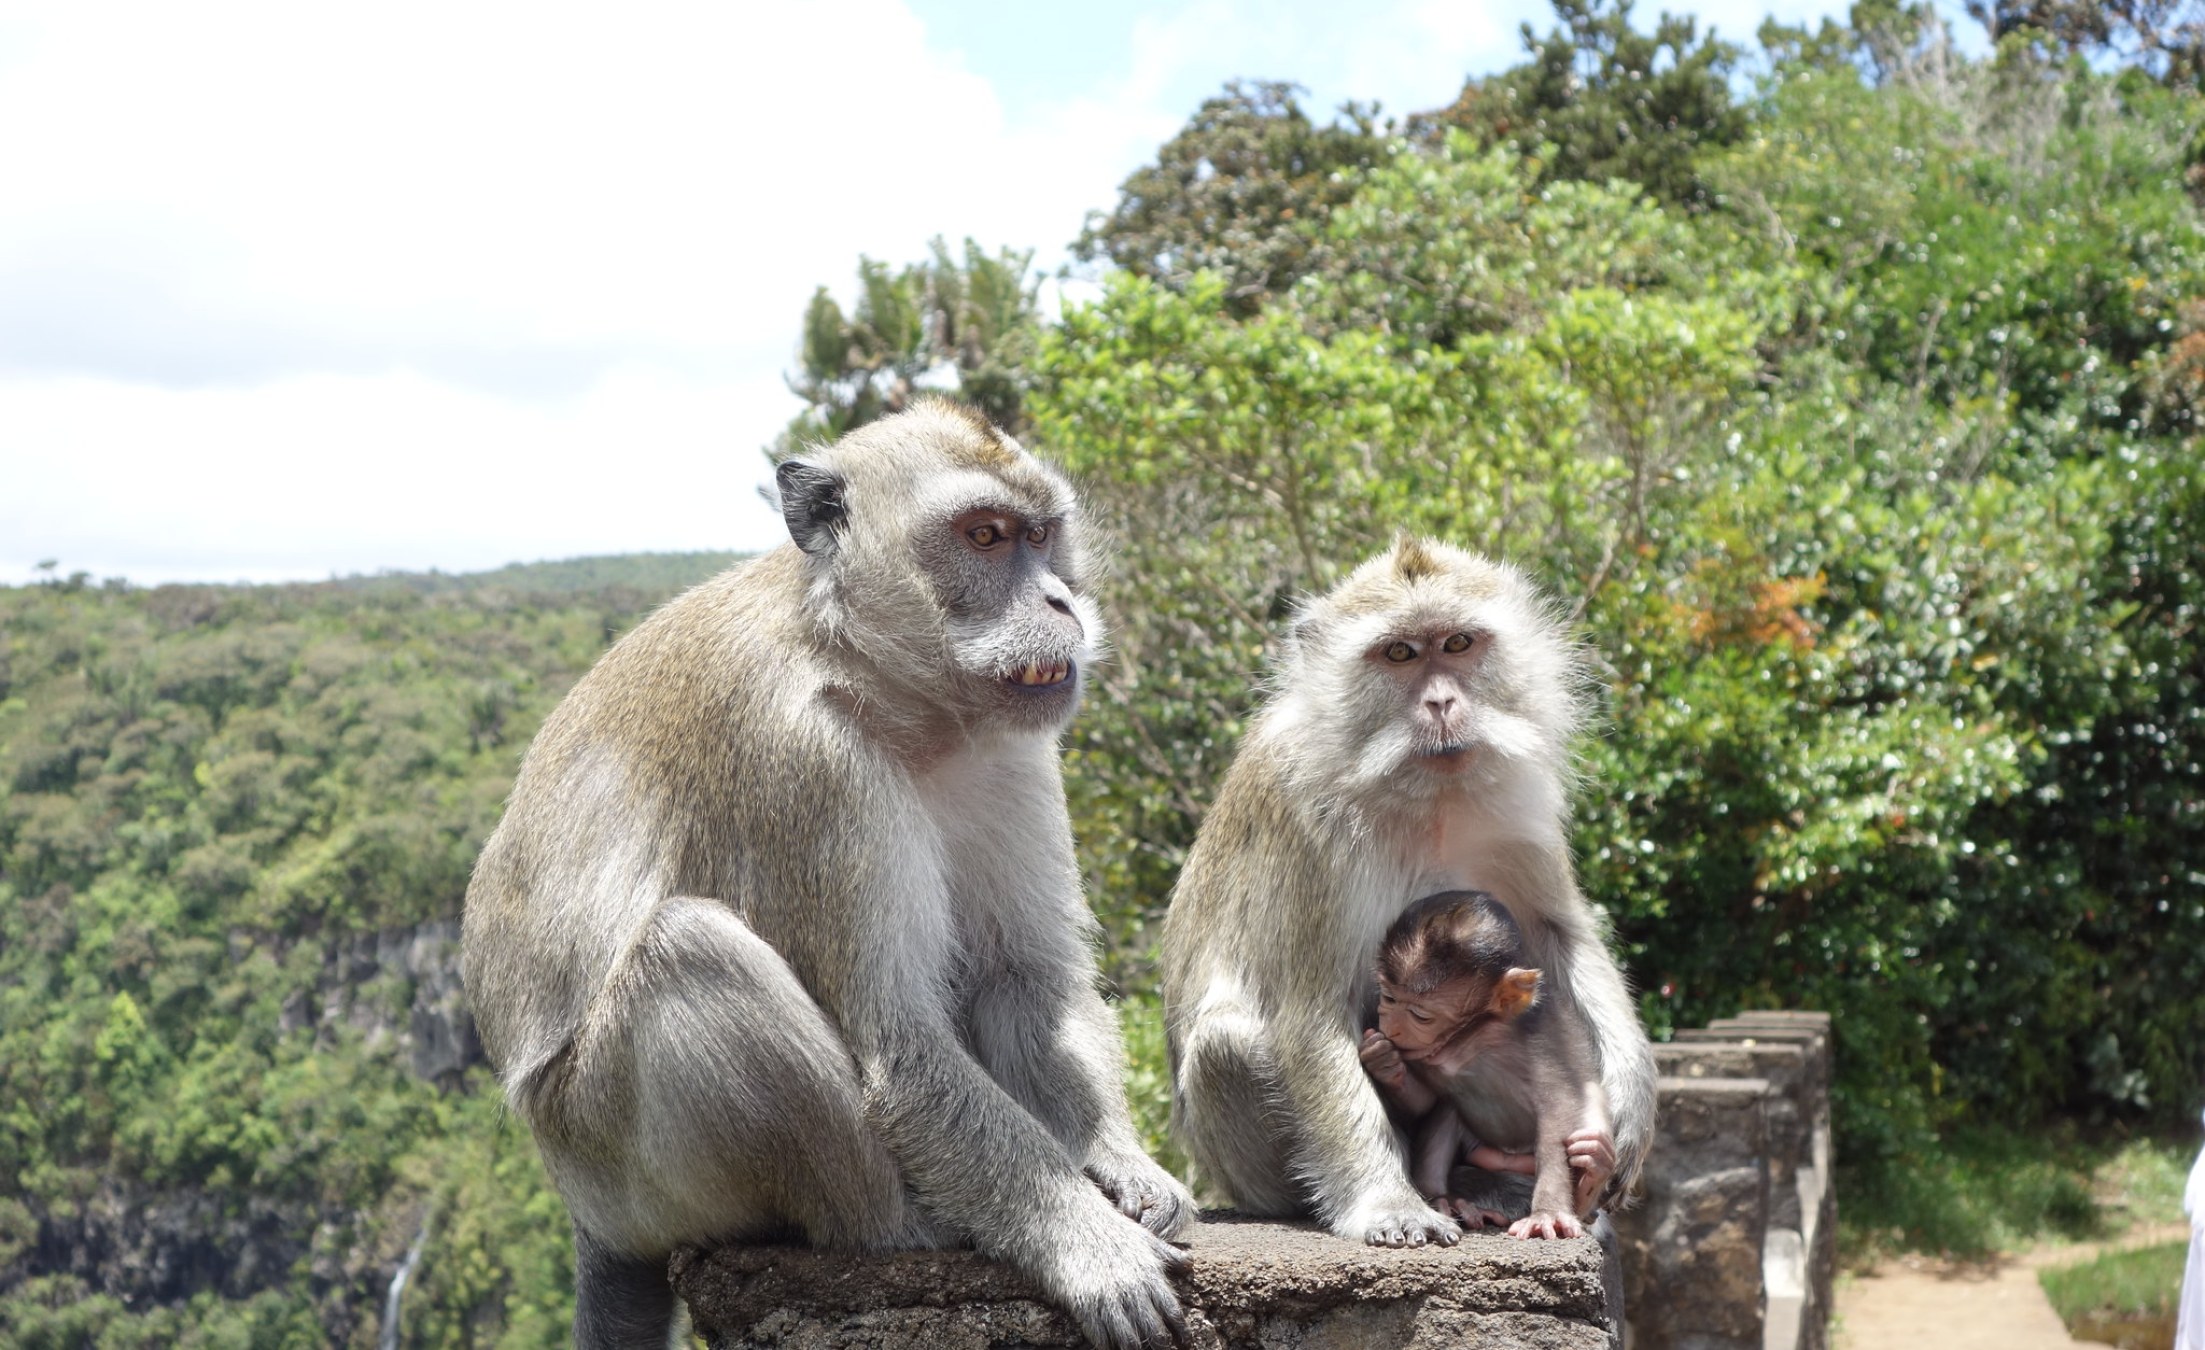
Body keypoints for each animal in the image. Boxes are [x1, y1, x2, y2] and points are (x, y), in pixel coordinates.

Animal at [461, 399, 1194, 1350]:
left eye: (1039, 535)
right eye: (984, 536)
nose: (1060, 600)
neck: (875, 680)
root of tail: (587, 1217)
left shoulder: (1013, 746)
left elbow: (1025, 981)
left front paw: (1124, 1167)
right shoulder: (805, 765)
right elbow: (902, 1048)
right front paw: (1086, 1242)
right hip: (608, 1156)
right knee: (690, 952)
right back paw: (904, 1225)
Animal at [1356, 889, 1613, 1241]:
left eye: (1421, 1016)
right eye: (1389, 997)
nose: (1390, 1027)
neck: (1472, 1035)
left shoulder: (1541, 1038)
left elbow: (1558, 1108)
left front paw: (1547, 1213)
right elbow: (1427, 1101)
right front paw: (1383, 1059)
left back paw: (1594, 1167)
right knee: (1447, 1109)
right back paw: (1446, 1200)